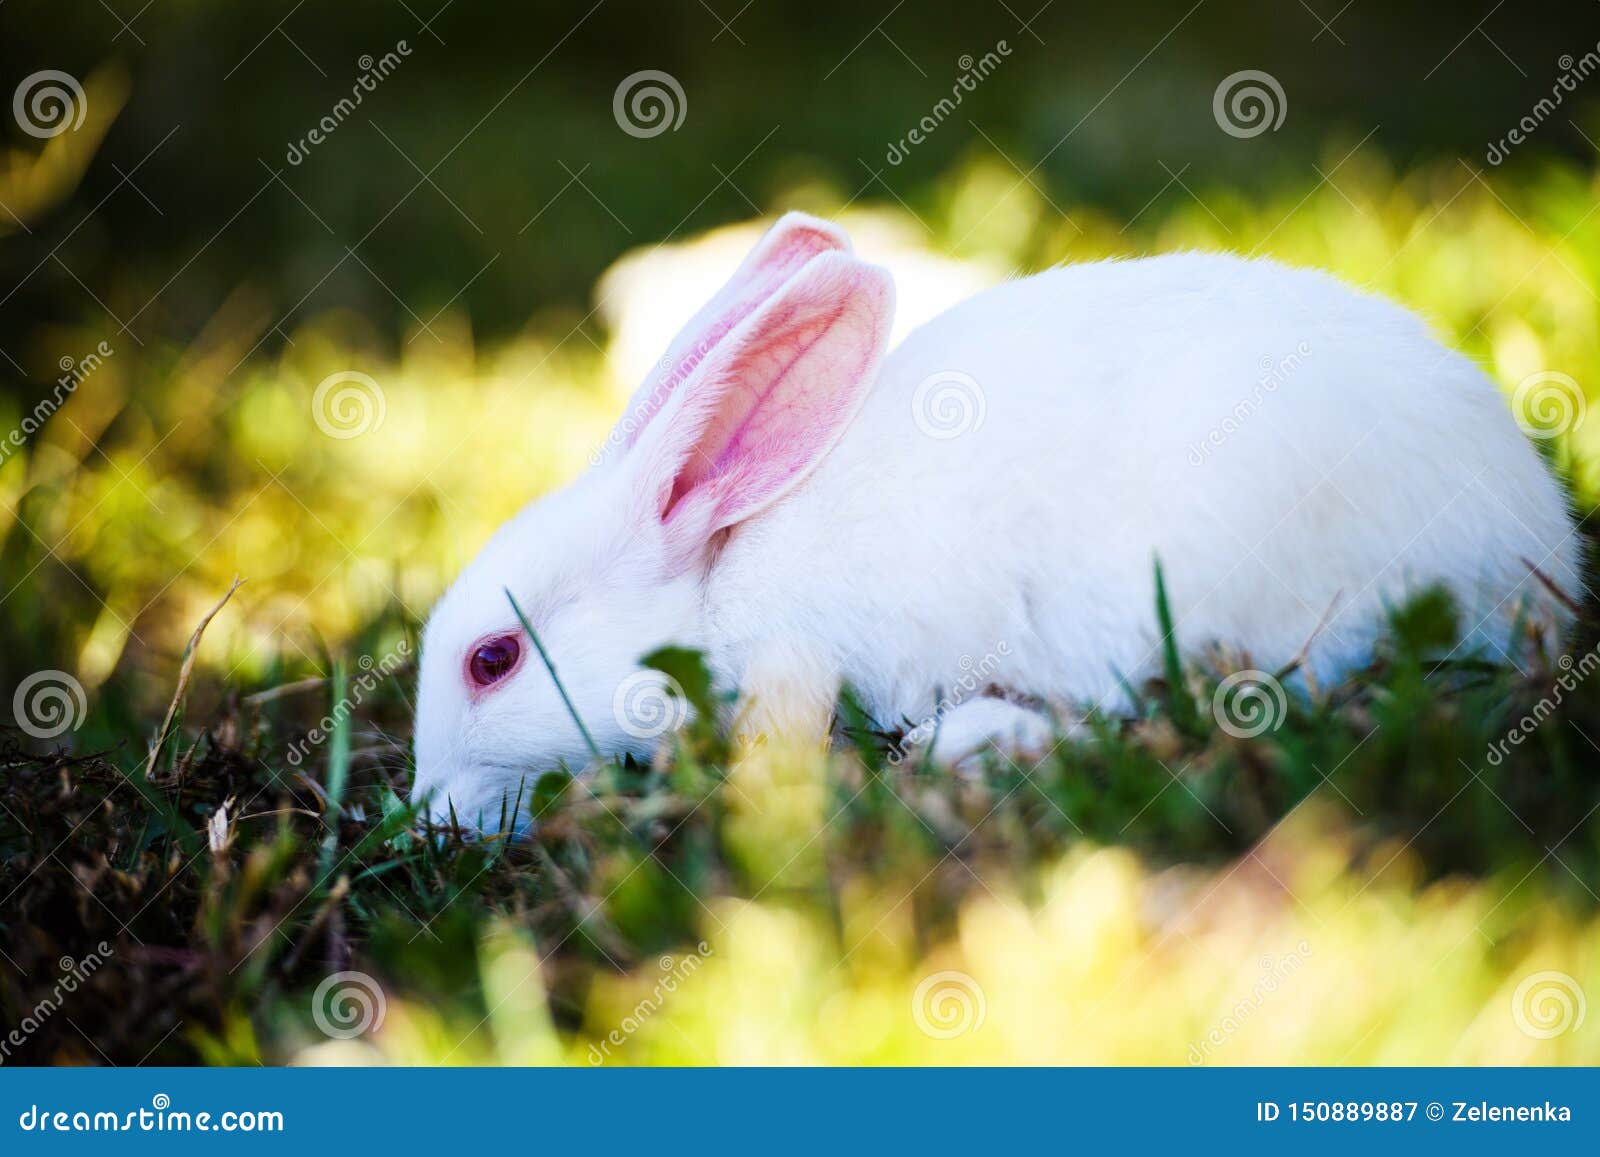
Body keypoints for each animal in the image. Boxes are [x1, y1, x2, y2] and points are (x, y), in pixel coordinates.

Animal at [412, 211, 1581, 828]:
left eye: (492, 660)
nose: (430, 811)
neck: (717, 582)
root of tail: (1534, 555)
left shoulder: (795, 656)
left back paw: (966, 738)